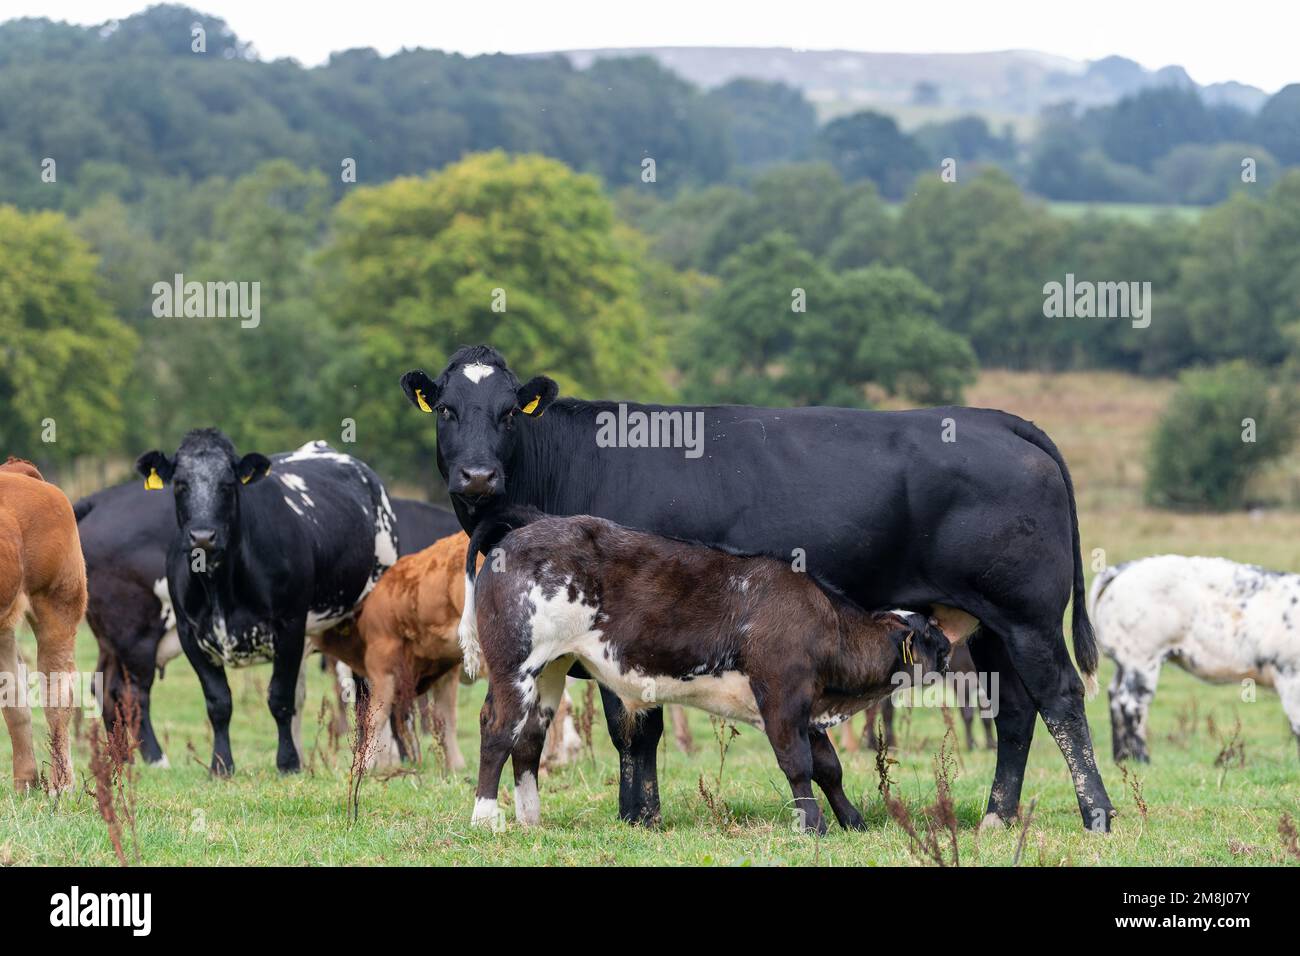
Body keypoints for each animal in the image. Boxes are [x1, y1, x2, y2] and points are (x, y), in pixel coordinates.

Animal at [1, 461, 86, 793]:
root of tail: (16, 470)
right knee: (16, 698)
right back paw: (25, 782)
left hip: (58, 601)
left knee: (57, 693)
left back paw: (60, 784)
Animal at [74, 473, 460, 767]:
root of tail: (102, 500)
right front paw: (397, 756)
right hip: (136, 633)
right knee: (132, 692)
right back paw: (156, 759)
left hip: (113, 640)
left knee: (104, 687)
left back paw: (123, 758)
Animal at [135, 431, 399, 775]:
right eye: (180, 484)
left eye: (228, 485)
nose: (203, 536)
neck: (219, 587)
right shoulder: (189, 632)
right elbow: (219, 702)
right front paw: (221, 765)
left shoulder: (288, 625)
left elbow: (280, 698)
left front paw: (288, 763)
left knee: (366, 690)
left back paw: (369, 759)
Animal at [469, 508, 951, 834]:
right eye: (929, 633)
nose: (950, 648)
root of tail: (521, 531)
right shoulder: (781, 696)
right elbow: (798, 764)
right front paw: (812, 824)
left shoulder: (807, 705)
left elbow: (829, 767)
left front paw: (851, 819)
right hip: (514, 666)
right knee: (498, 730)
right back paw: (486, 816)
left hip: (550, 670)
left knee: (529, 738)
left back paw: (530, 818)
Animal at [1091, 554, 1300, 762]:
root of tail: (1127, 566)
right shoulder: (1289, 673)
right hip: (1142, 657)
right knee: (1131, 703)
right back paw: (1142, 759)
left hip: (1125, 661)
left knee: (1114, 696)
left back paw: (1122, 757)